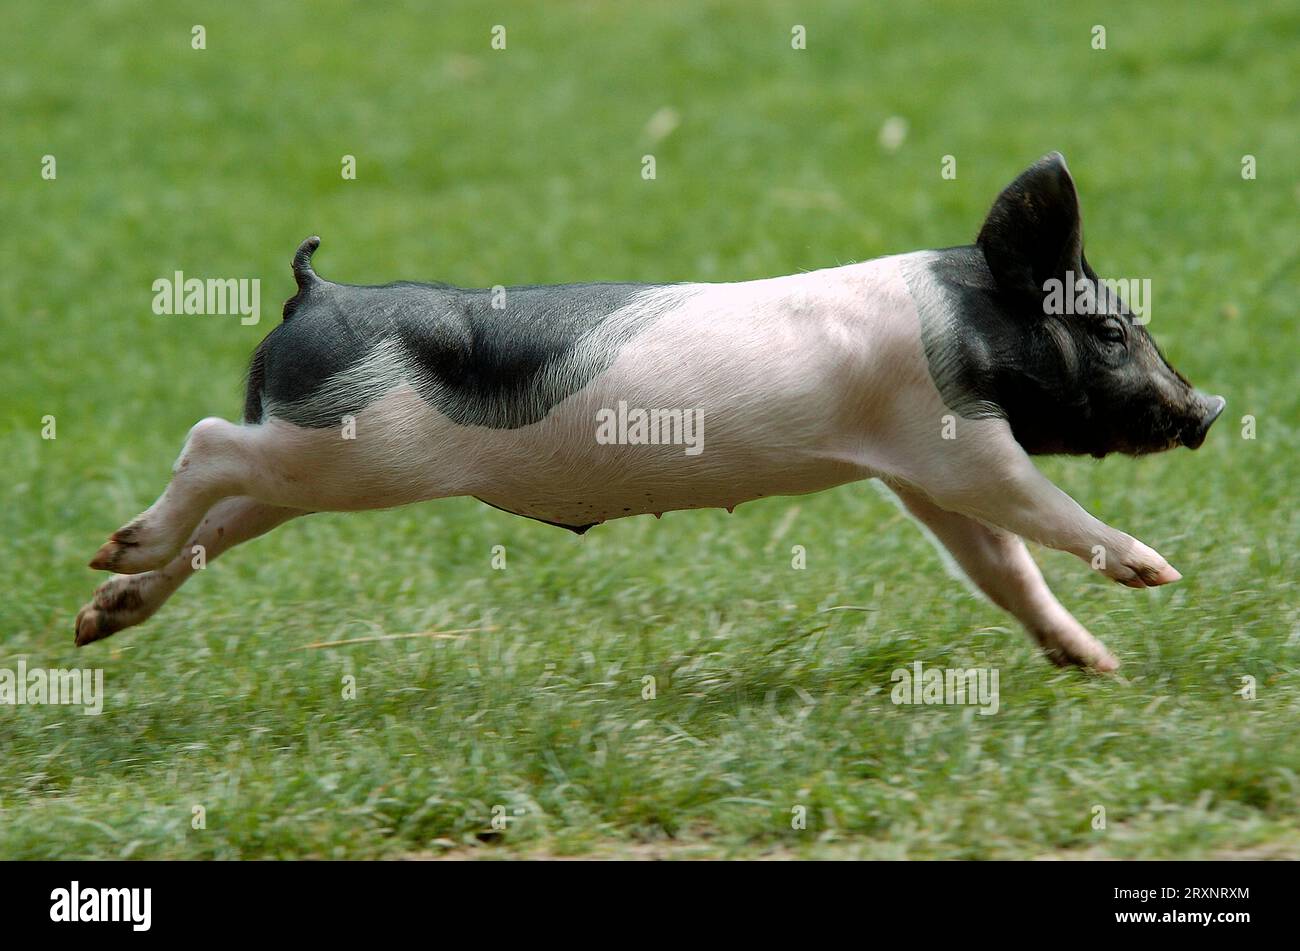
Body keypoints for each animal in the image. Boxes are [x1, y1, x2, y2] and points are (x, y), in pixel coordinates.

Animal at [76, 153, 1224, 671]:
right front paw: (1160, 573)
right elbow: (1035, 507)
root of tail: (315, 293)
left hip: (313, 459)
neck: (961, 328)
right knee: (207, 445)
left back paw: (102, 611)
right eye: (1110, 330)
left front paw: (1096, 664)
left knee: (222, 516)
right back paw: (111, 554)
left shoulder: (917, 469)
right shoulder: (949, 439)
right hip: (347, 451)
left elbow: (999, 565)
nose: (1207, 405)